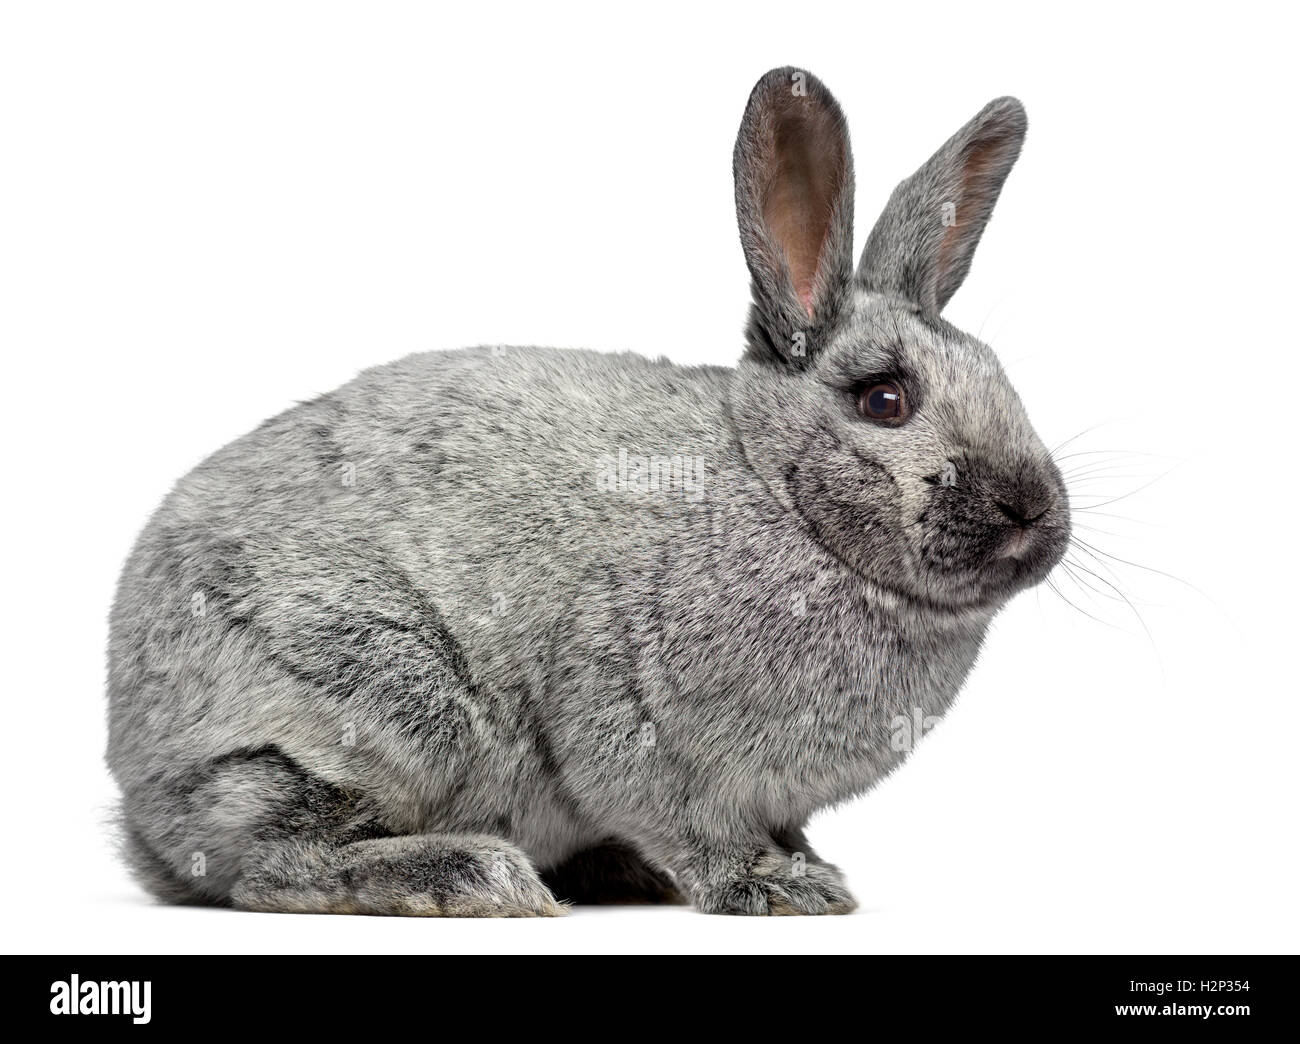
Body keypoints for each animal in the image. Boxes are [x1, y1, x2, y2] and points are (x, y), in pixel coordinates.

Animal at [106, 66, 1069, 916]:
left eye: (1003, 378)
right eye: (884, 400)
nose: (1033, 511)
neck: (778, 495)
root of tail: (138, 793)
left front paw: (810, 870)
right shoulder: (626, 711)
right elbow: (689, 823)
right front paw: (775, 888)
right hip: (381, 703)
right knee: (272, 864)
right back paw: (476, 879)